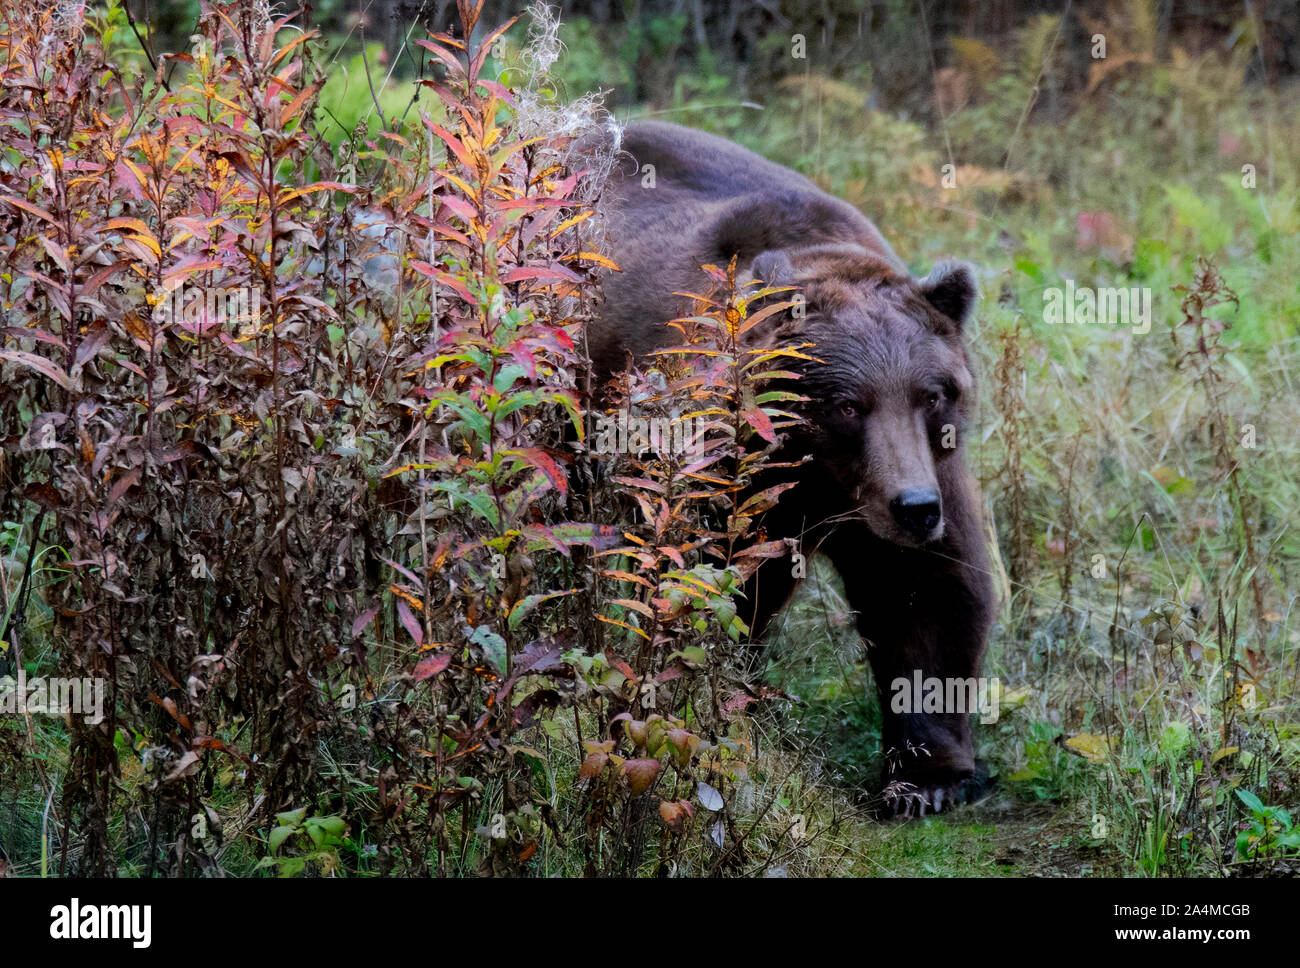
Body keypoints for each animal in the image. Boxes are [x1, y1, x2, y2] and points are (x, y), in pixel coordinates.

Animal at [585, 120, 995, 816]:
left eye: (932, 394)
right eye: (848, 403)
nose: (913, 508)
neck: (823, 478)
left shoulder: (924, 471)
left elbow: (930, 592)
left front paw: (927, 778)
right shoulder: (723, 467)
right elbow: (699, 576)